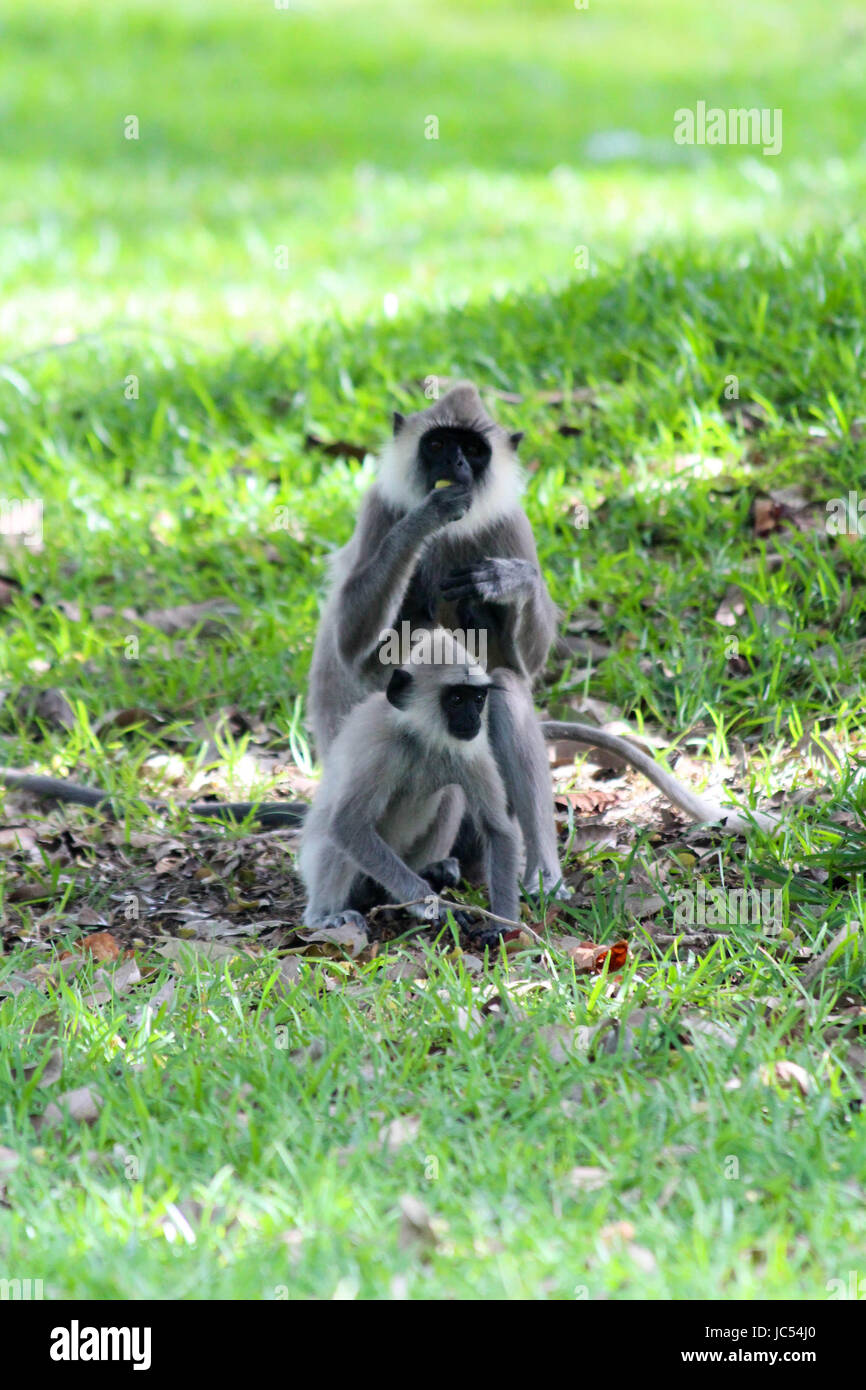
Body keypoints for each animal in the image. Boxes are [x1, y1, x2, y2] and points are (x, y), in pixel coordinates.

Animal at [299, 632, 521, 931]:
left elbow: (498, 829)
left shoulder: (472, 749)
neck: (421, 738)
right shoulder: (379, 749)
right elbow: (347, 825)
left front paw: (503, 926)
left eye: (478, 698)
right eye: (456, 699)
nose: (473, 719)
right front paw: (433, 907)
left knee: (451, 795)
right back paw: (323, 916)